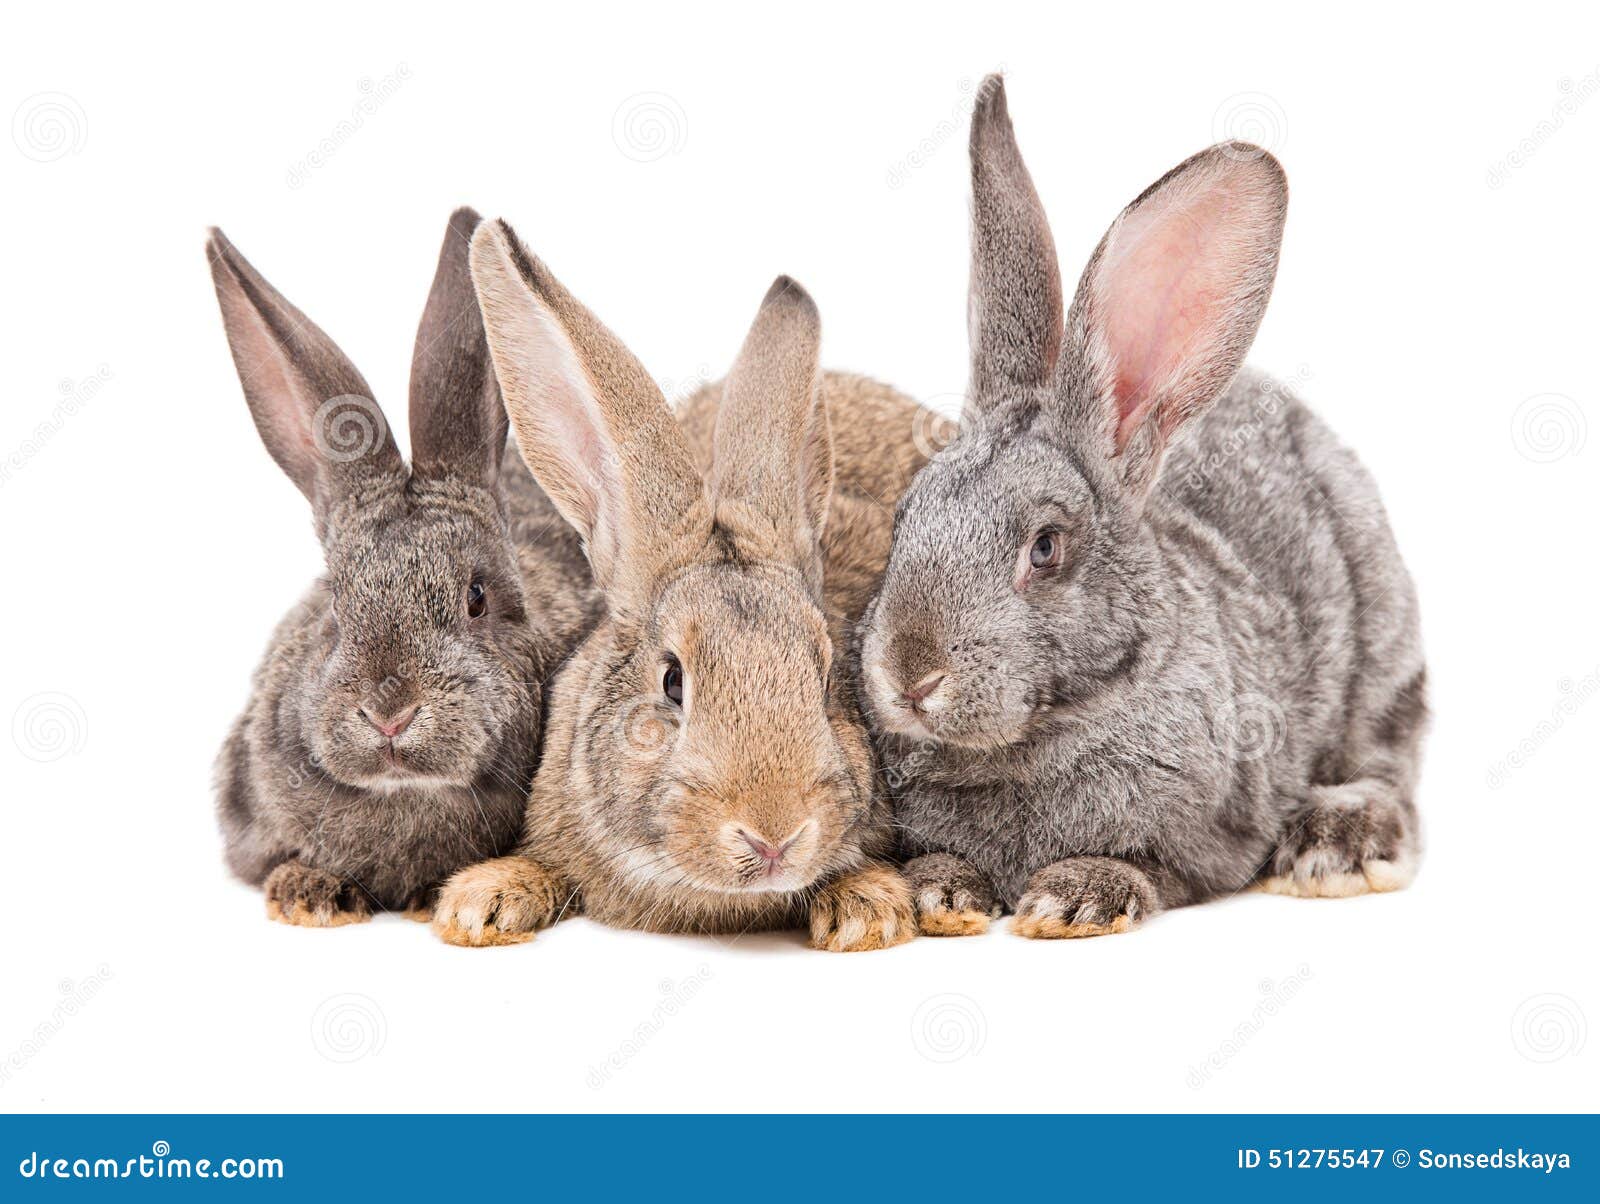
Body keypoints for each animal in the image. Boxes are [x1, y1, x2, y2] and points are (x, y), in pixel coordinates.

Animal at [856, 76, 1427, 939]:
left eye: (1046, 547)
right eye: (902, 518)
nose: (910, 675)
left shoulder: (1210, 835)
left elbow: (1154, 868)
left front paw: (1075, 897)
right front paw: (939, 892)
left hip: (1382, 651)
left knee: (1388, 767)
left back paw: (1338, 845)